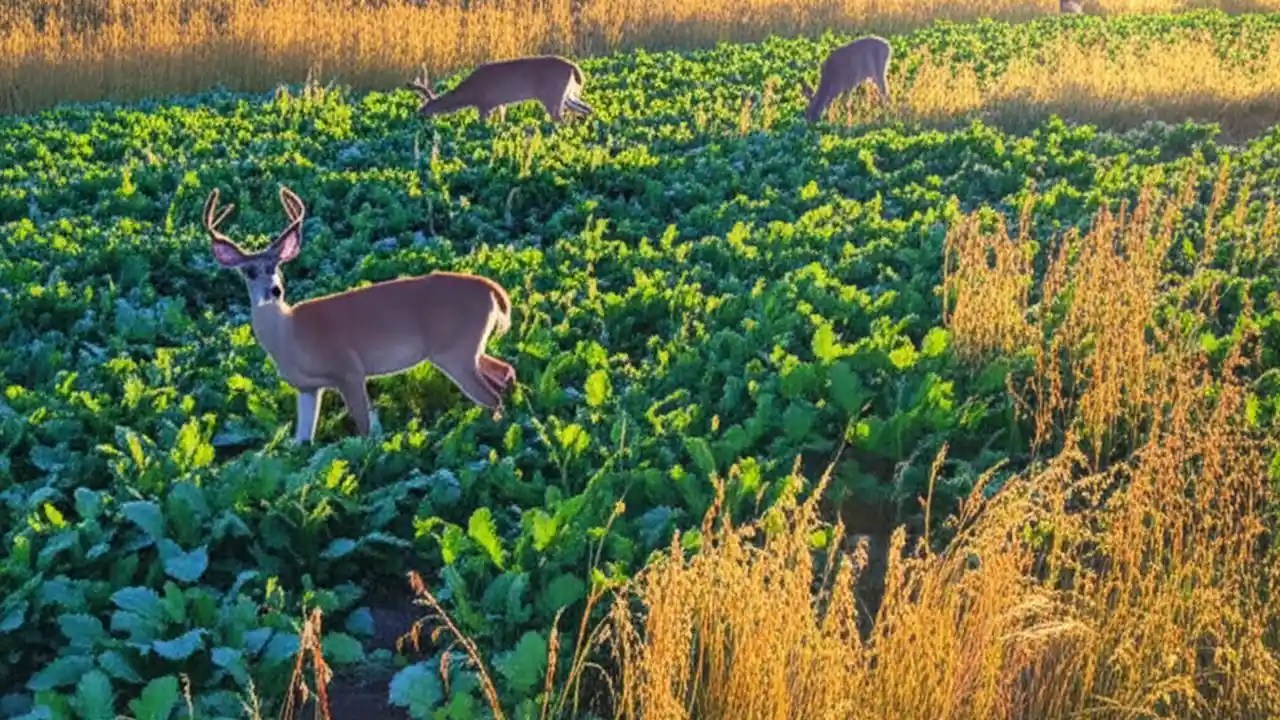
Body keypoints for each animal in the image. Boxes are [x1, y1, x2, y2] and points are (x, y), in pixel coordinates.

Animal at [203, 186, 517, 444]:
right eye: (249, 271)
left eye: (276, 266)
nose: (274, 290)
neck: (289, 336)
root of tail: (493, 290)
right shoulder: (307, 387)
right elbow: (302, 440)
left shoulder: (349, 369)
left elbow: (365, 428)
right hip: (466, 349)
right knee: (505, 371)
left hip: (455, 350)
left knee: (492, 396)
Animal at [406, 55, 593, 124]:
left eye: (426, 107)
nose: (418, 114)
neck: (469, 93)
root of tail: (573, 67)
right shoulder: (498, 104)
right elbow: (501, 118)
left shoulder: (484, 104)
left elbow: (482, 123)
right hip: (567, 95)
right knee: (587, 108)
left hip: (552, 95)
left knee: (560, 119)